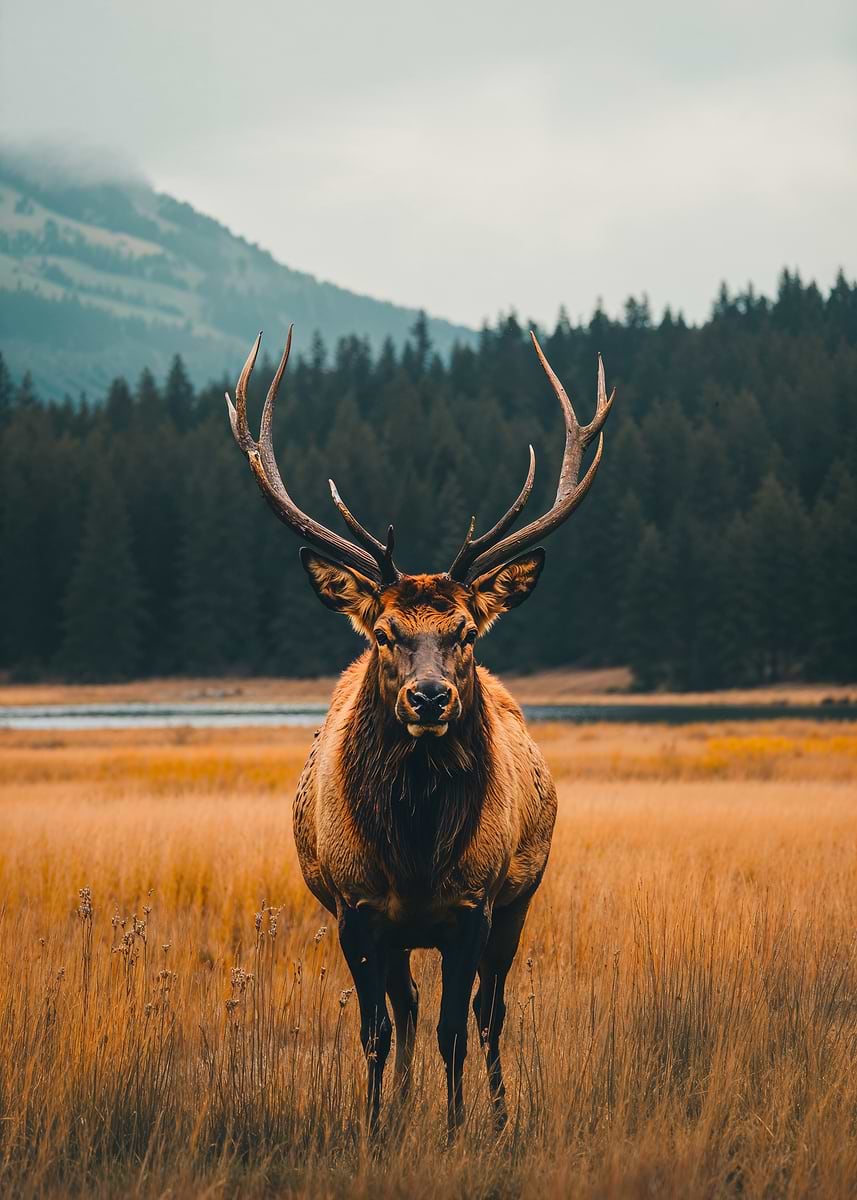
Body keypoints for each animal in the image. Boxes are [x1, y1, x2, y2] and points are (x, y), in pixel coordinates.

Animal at [226, 327, 614, 1139]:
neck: (413, 854)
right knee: (403, 1008)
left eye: (464, 630)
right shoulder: (355, 911)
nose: (429, 697)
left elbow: (455, 1028)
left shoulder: (473, 908)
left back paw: (497, 1114)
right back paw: (402, 1103)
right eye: (384, 632)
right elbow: (376, 1030)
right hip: (400, 933)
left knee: (492, 1012)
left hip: (519, 901)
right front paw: (375, 1128)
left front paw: (461, 1128)